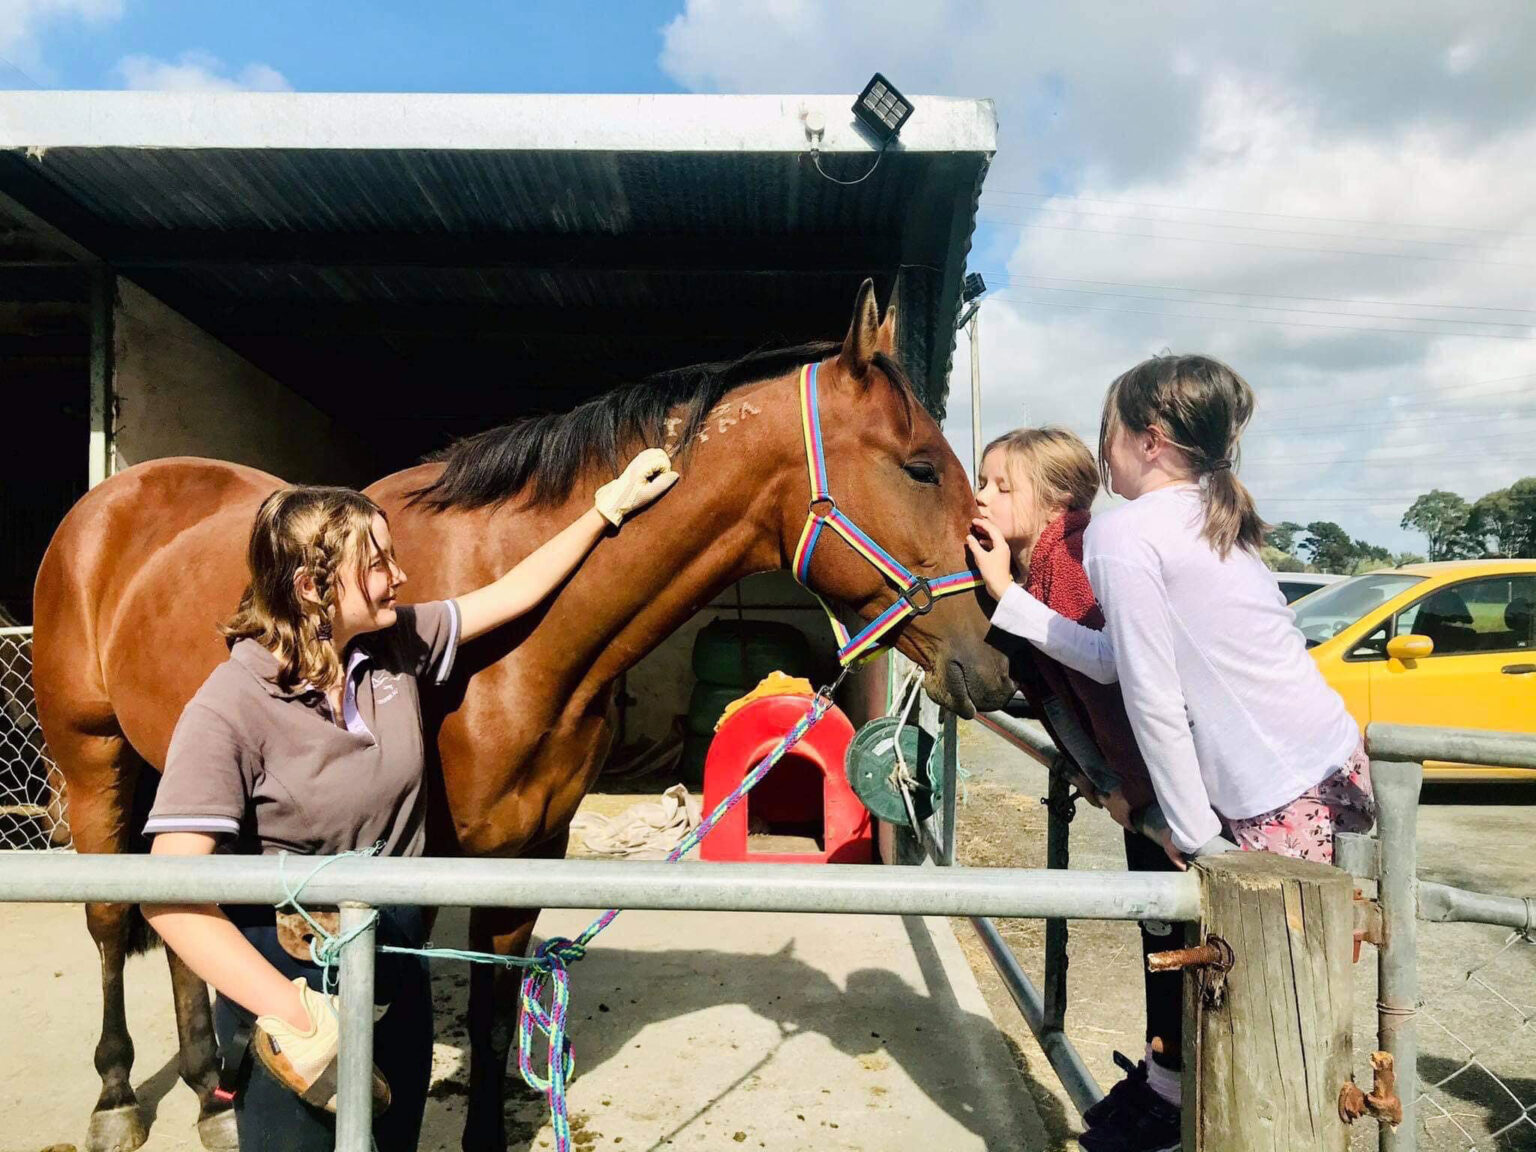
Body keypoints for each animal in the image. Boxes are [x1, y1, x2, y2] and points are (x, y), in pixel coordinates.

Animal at [31, 280, 1015, 1152]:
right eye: (920, 466)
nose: (994, 664)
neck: (514, 636)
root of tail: (110, 502)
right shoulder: (421, 868)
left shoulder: (528, 849)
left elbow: (499, 1020)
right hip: (91, 757)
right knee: (113, 921)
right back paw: (119, 1097)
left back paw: (212, 1095)